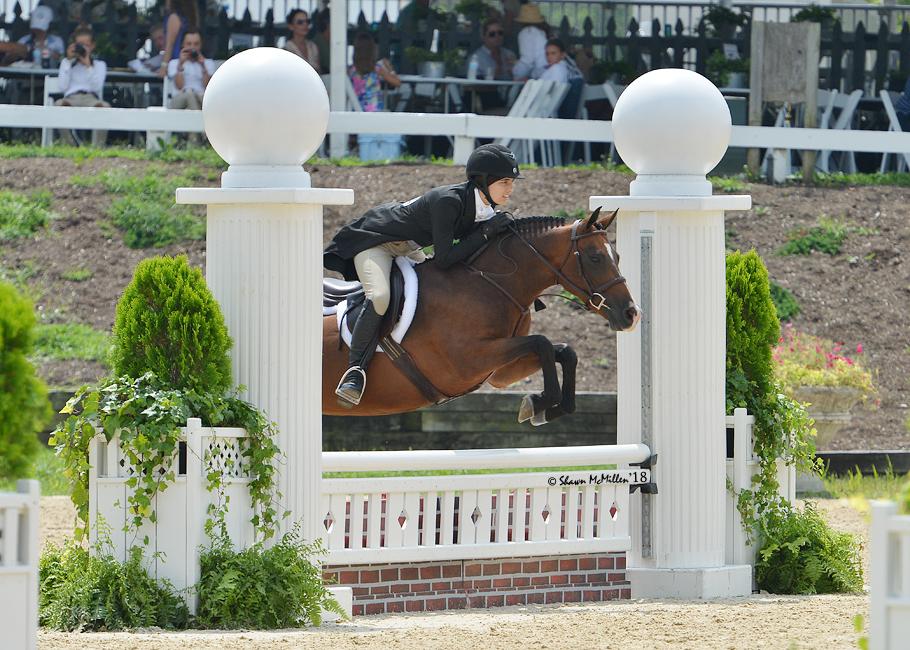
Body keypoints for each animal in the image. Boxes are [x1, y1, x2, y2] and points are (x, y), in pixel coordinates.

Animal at [321, 208, 640, 424]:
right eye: (595, 257)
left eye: (617, 257)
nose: (631, 314)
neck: (488, 283)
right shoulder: (467, 361)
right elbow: (542, 343)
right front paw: (541, 402)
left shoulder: (501, 371)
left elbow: (561, 350)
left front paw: (543, 407)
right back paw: (351, 385)